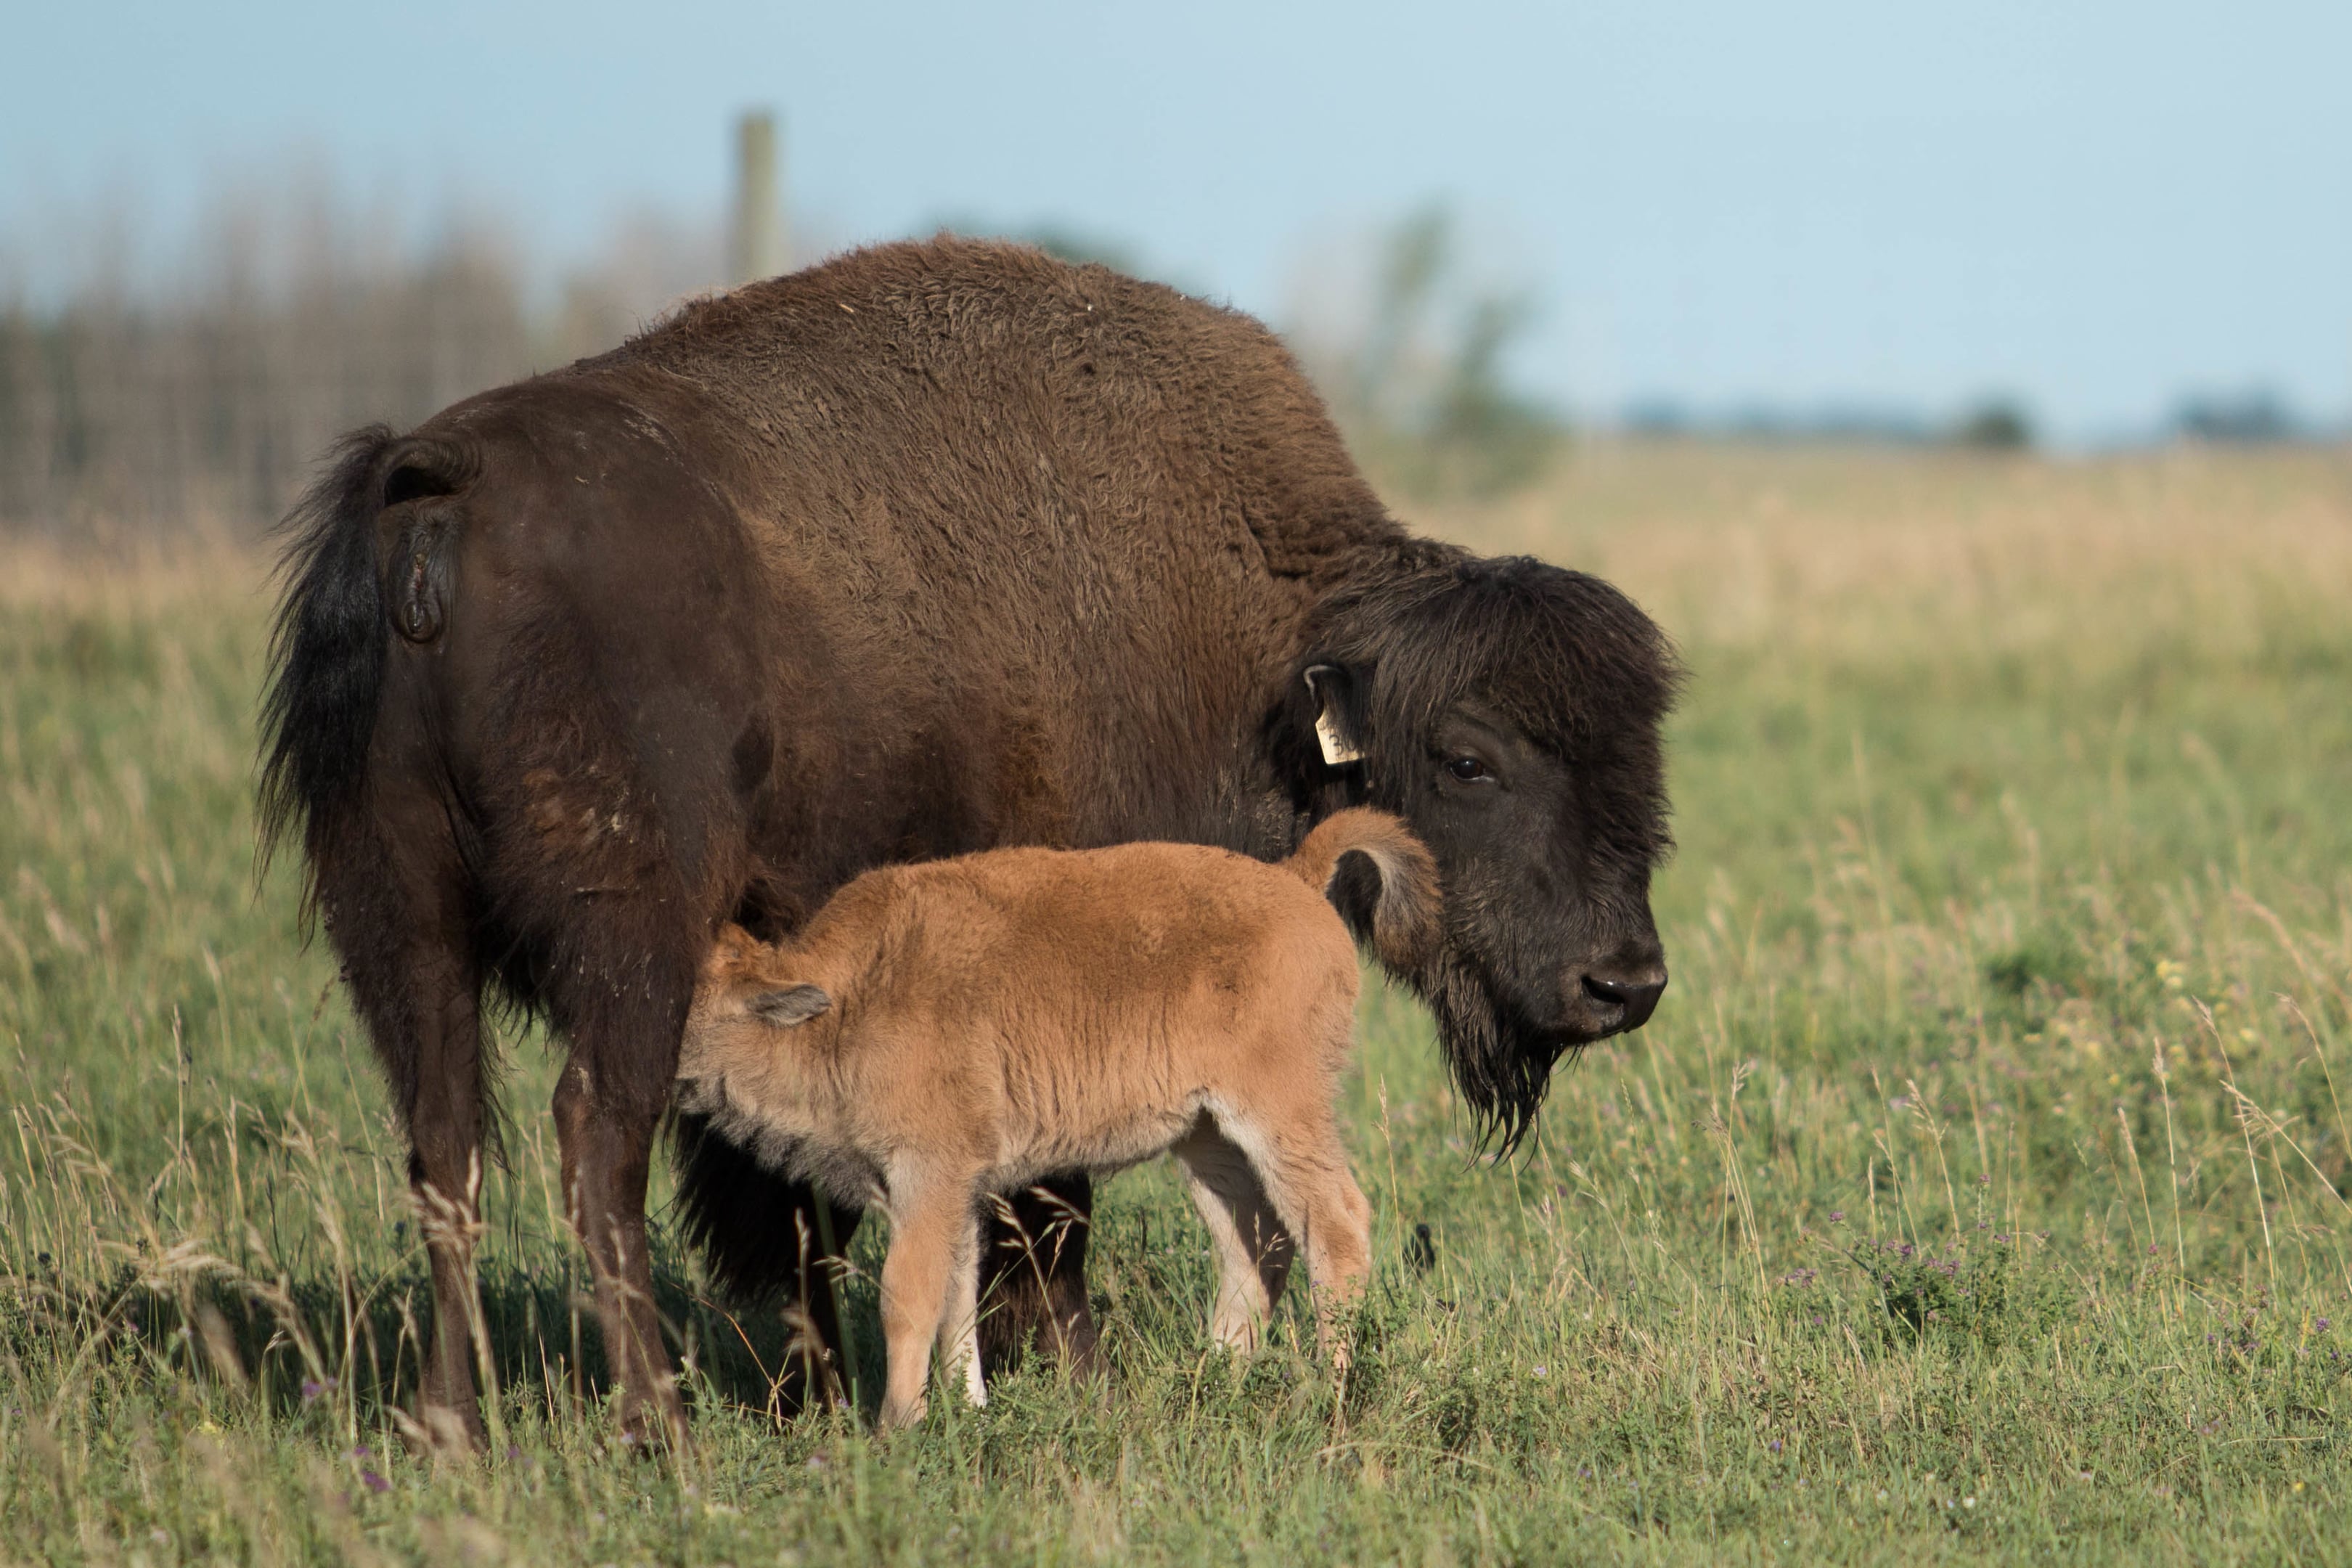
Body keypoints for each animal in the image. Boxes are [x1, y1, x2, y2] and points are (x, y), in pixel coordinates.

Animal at [259, 236, 1677, 1450]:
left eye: (1642, 755)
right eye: (1472, 759)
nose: (1623, 981)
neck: (1259, 644)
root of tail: (438, 493)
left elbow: (821, 1215)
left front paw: (832, 1394)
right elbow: (1038, 1206)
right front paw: (1059, 1380)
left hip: (399, 924)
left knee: (447, 1146)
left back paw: (449, 1428)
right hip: (627, 939)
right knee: (595, 1138)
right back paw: (656, 1429)